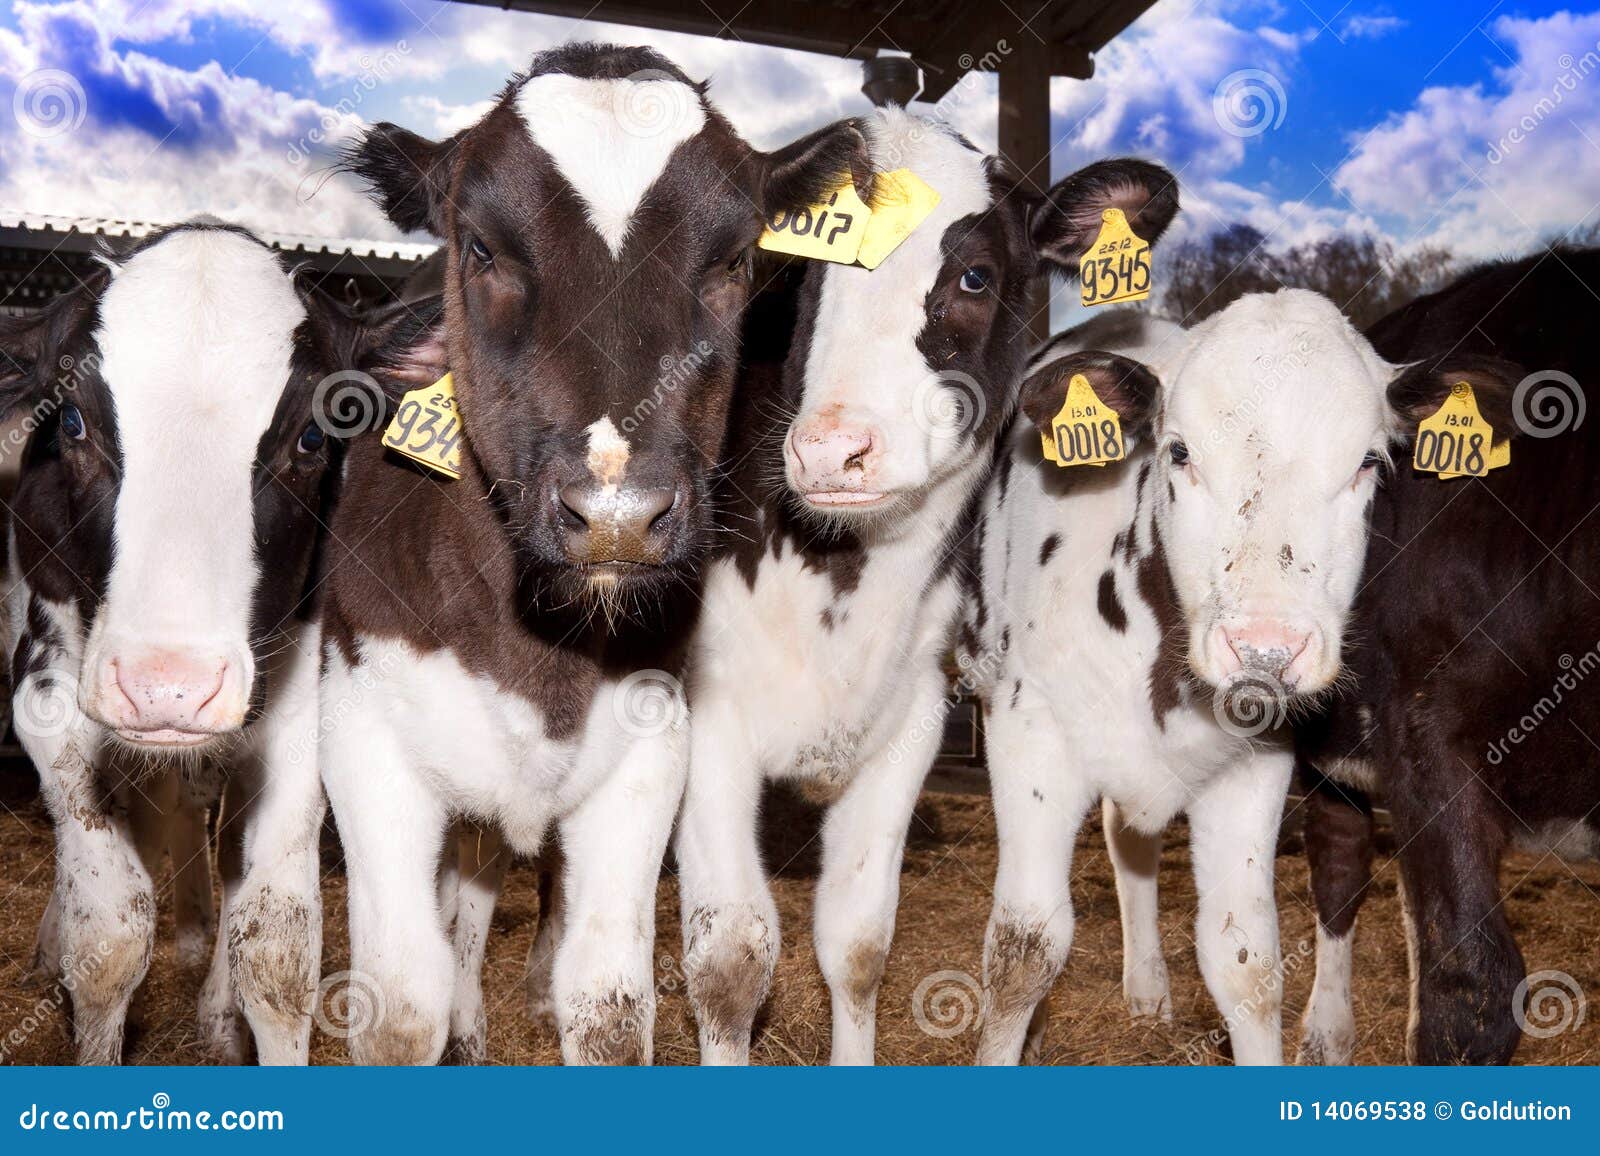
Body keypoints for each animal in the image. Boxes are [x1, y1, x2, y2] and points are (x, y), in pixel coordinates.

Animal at [0, 220, 416, 1063]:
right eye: (73, 423)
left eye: (313, 435)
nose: (168, 686)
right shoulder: (45, 698)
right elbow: (111, 935)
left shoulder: (303, 707)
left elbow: (278, 947)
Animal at [322, 42, 870, 1066]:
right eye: (480, 247)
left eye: (734, 258)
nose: (617, 511)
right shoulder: (367, 737)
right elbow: (399, 1005)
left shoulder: (649, 752)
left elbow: (610, 1004)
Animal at [674, 106, 1180, 1065]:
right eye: (790, 269)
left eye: (975, 274)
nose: (831, 451)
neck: (840, 576)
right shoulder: (698, 712)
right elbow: (731, 959)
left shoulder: (909, 713)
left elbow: (857, 939)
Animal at [967, 289, 1524, 1065]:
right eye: (1178, 451)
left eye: (1368, 463)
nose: (1265, 649)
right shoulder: (1028, 731)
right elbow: (1023, 951)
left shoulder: (1252, 766)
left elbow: (1246, 963)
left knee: (1128, 838)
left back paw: (1147, 991)